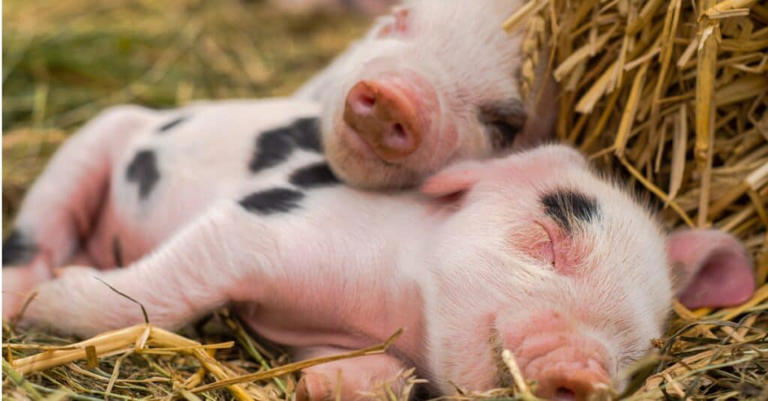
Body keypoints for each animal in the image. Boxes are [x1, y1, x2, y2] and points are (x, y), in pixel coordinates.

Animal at [2, 99, 755, 400]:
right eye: (548, 238)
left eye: (637, 349)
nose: (582, 368)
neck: (389, 304)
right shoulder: (256, 226)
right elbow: (163, 292)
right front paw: (61, 290)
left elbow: (386, 378)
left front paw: (328, 385)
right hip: (91, 140)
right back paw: (29, 287)